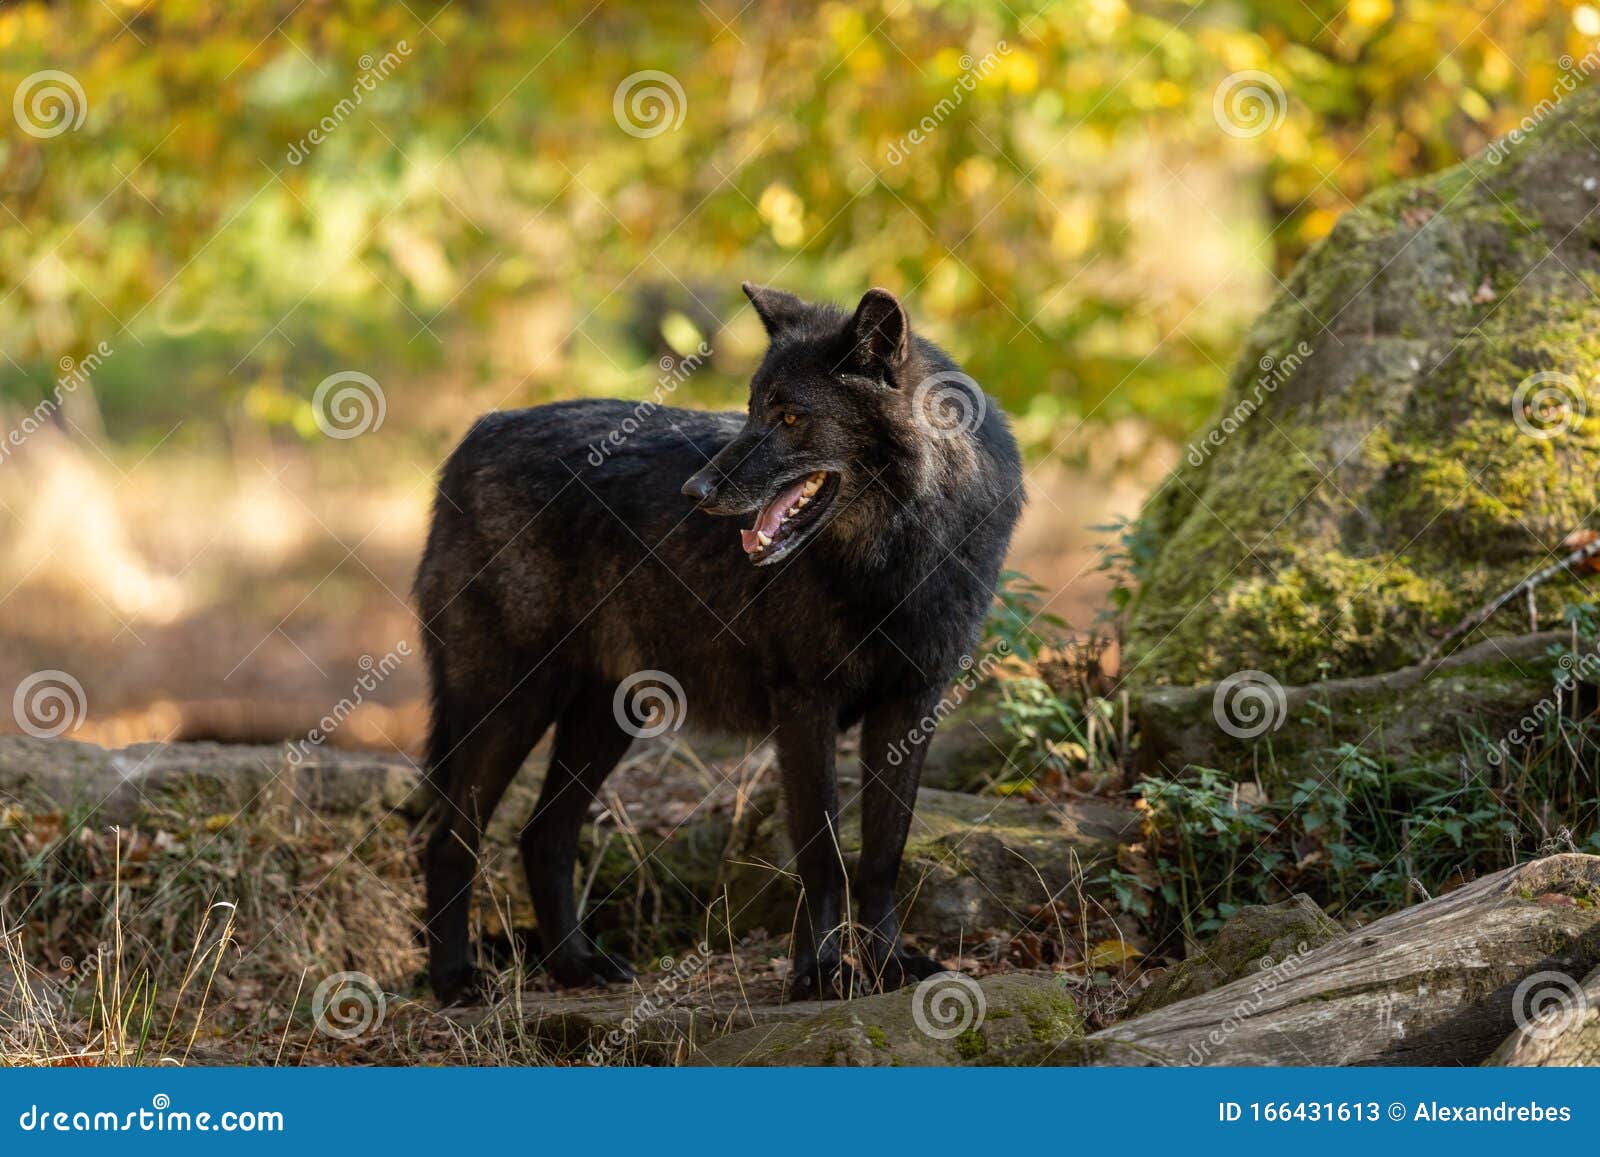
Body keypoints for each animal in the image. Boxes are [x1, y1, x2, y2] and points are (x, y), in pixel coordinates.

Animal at [414, 283, 1023, 1004]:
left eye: (790, 417)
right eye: (753, 409)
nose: (695, 492)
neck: (898, 560)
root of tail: (475, 435)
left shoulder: (912, 705)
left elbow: (882, 853)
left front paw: (889, 967)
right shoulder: (804, 705)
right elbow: (822, 852)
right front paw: (820, 974)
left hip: (606, 717)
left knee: (544, 836)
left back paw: (577, 967)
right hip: (513, 701)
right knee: (449, 837)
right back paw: (455, 980)